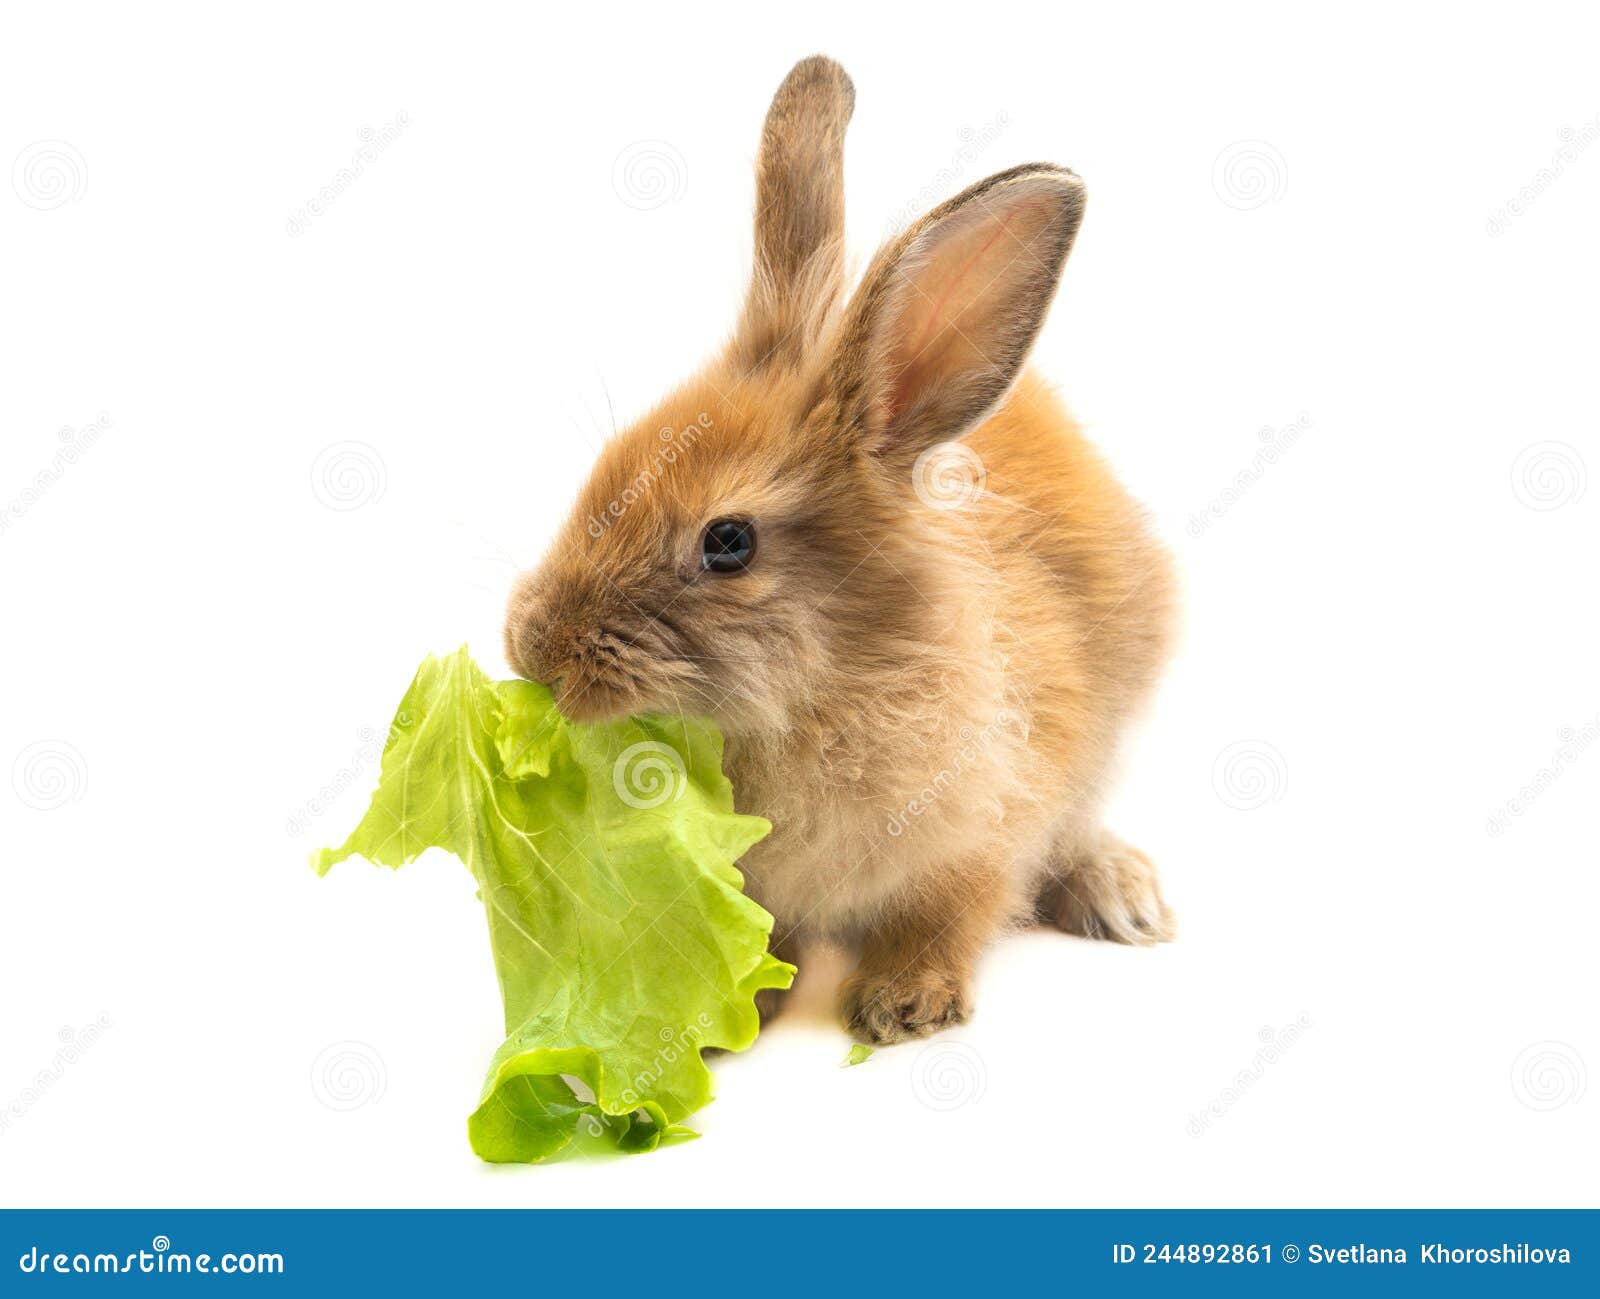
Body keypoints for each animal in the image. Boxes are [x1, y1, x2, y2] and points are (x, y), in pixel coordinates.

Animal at [504, 55, 1178, 1044]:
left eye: (729, 542)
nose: (532, 651)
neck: (821, 685)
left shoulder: (982, 834)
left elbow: (953, 912)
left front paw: (904, 1003)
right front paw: (735, 1007)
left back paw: (1124, 898)